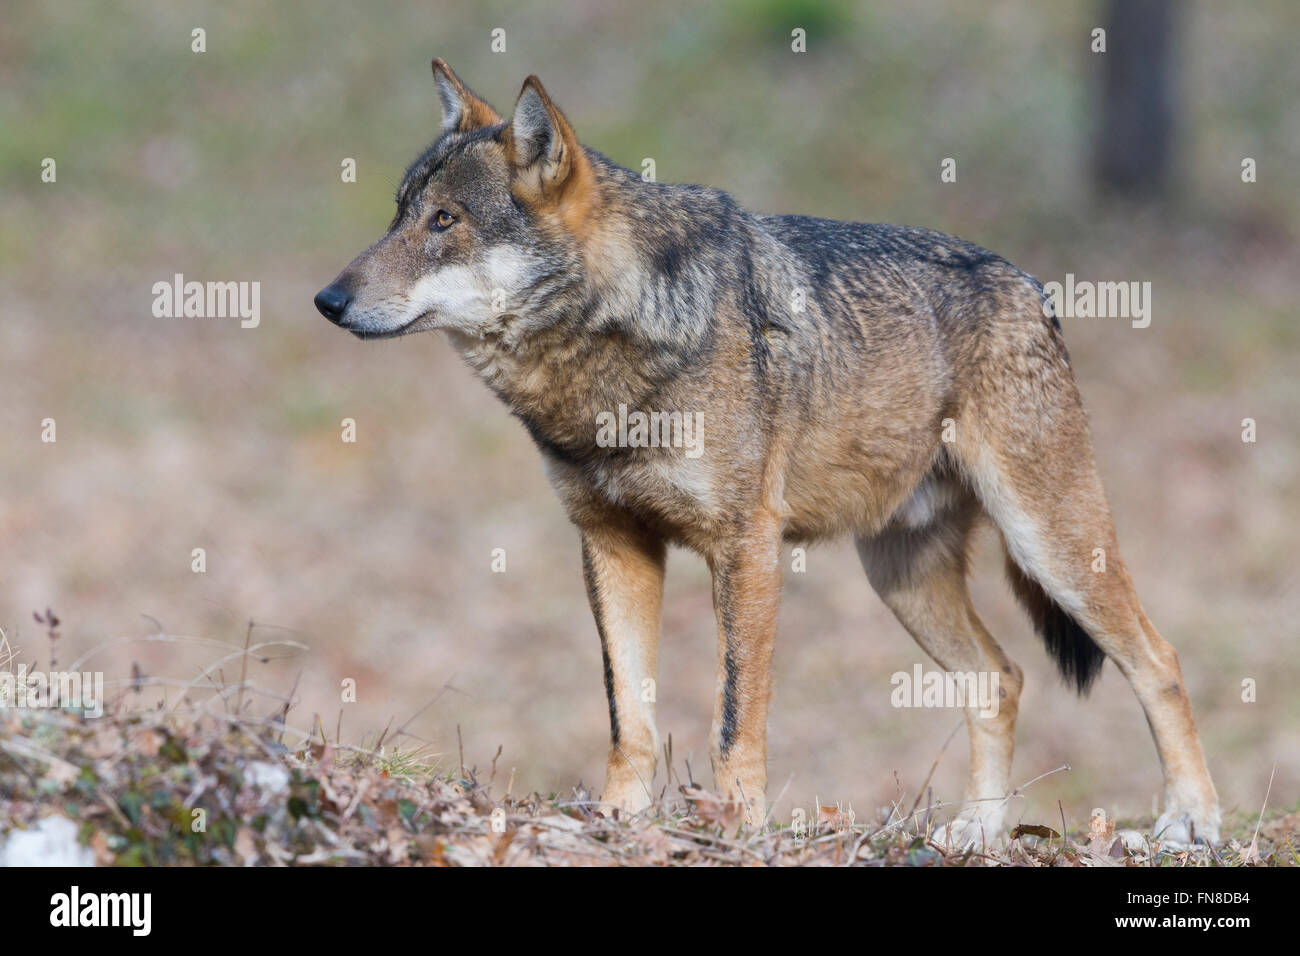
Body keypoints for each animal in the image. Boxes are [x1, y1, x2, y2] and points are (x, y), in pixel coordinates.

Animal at [314, 60, 1220, 847]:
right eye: (398, 212)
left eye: (445, 222)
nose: (327, 299)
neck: (615, 352)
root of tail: (1033, 288)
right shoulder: (612, 543)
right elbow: (628, 715)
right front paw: (618, 822)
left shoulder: (746, 548)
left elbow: (732, 716)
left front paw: (738, 830)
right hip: (903, 579)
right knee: (1000, 678)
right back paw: (980, 832)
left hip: (1052, 546)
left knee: (1161, 659)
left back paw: (1190, 821)